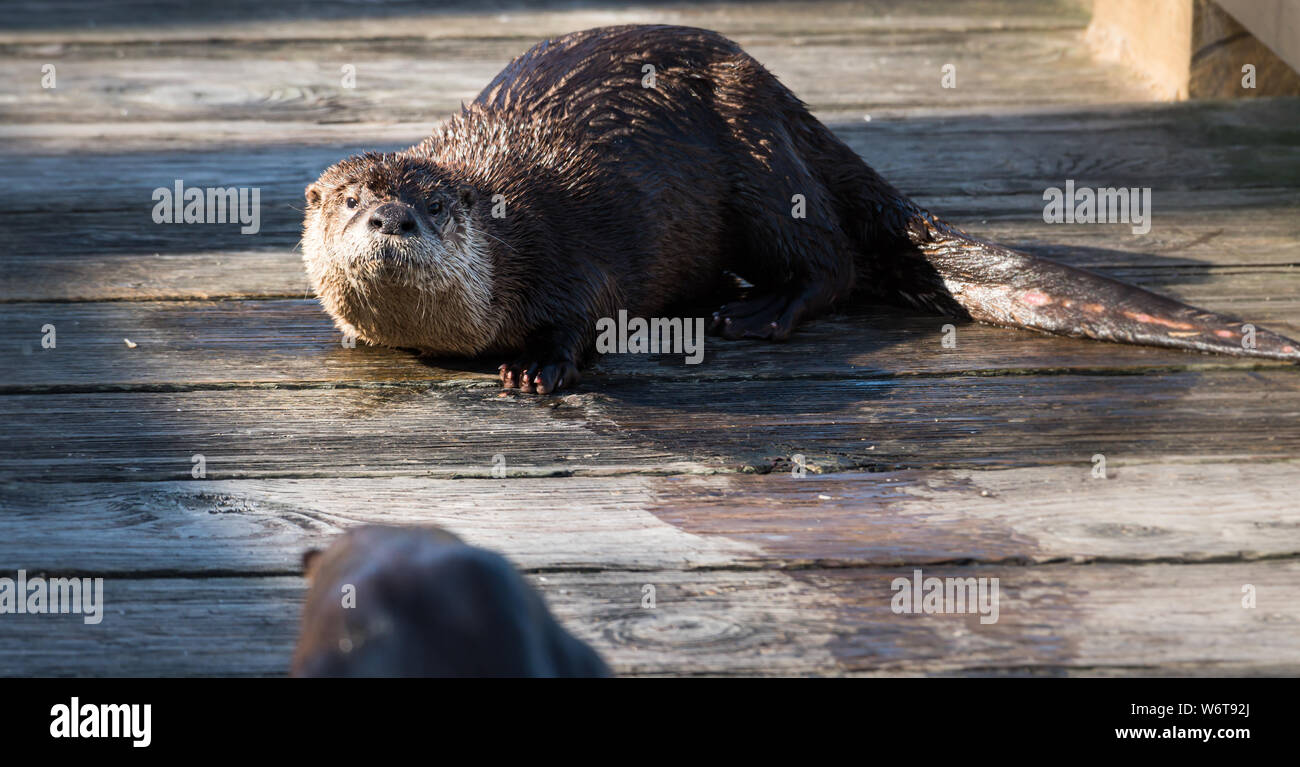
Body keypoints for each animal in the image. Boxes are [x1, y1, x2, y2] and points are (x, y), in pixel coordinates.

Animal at [302, 25, 1300, 394]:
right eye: (351, 198)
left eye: (435, 201)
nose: (391, 220)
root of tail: (780, 90)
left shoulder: (566, 249)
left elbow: (581, 312)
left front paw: (536, 367)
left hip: (757, 162)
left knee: (834, 259)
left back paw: (759, 310)